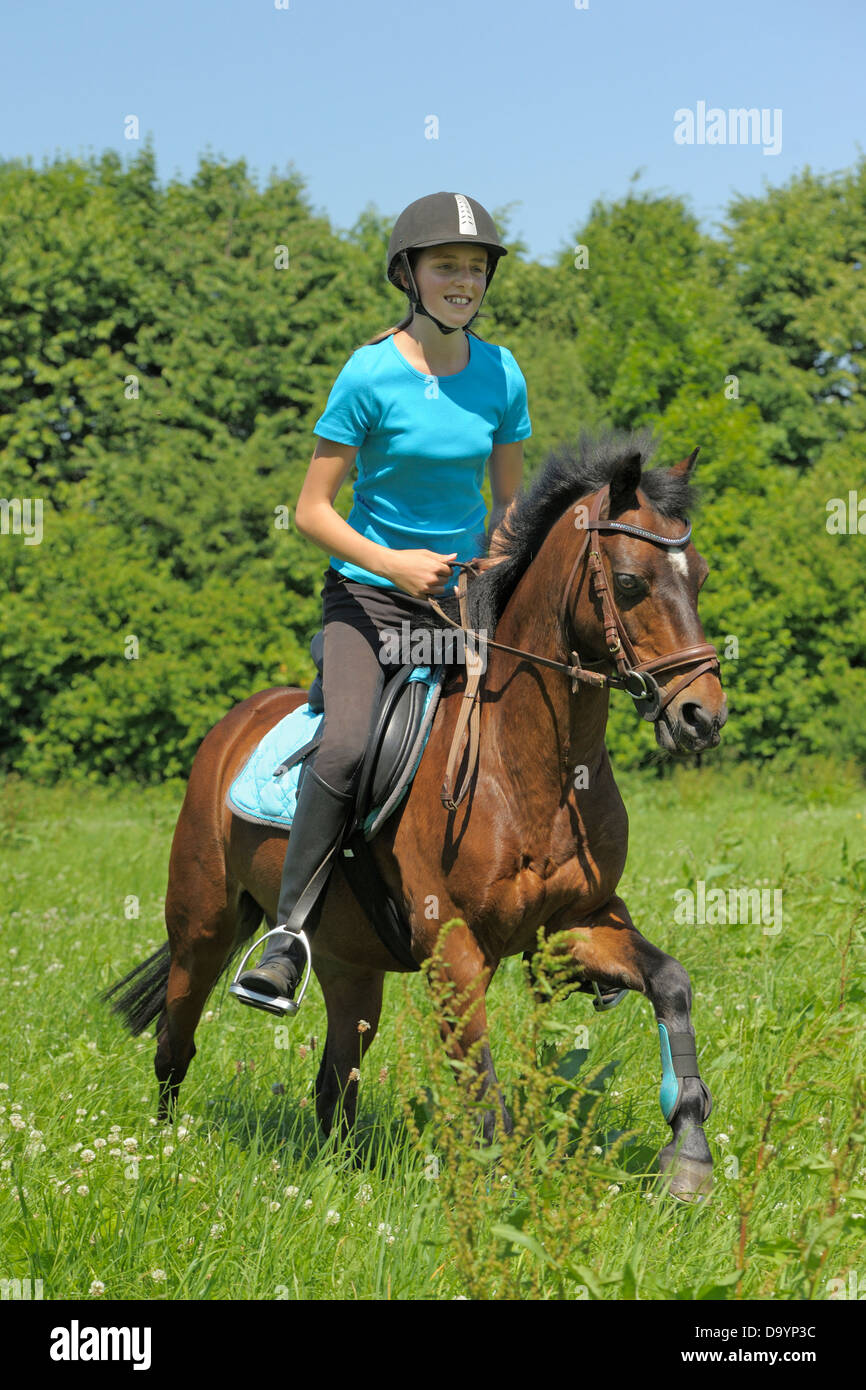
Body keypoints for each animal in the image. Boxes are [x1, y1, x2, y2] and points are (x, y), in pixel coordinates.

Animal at [104, 430, 727, 1198]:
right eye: (634, 582)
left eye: (699, 578)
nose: (702, 716)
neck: (532, 767)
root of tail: (235, 724)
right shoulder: (455, 949)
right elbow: (482, 1090)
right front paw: (499, 1200)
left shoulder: (576, 924)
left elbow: (672, 983)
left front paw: (689, 1154)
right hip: (202, 924)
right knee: (175, 1040)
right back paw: (163, 1153)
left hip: (347, 962)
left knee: (334, 1079)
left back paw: (338, 1176)